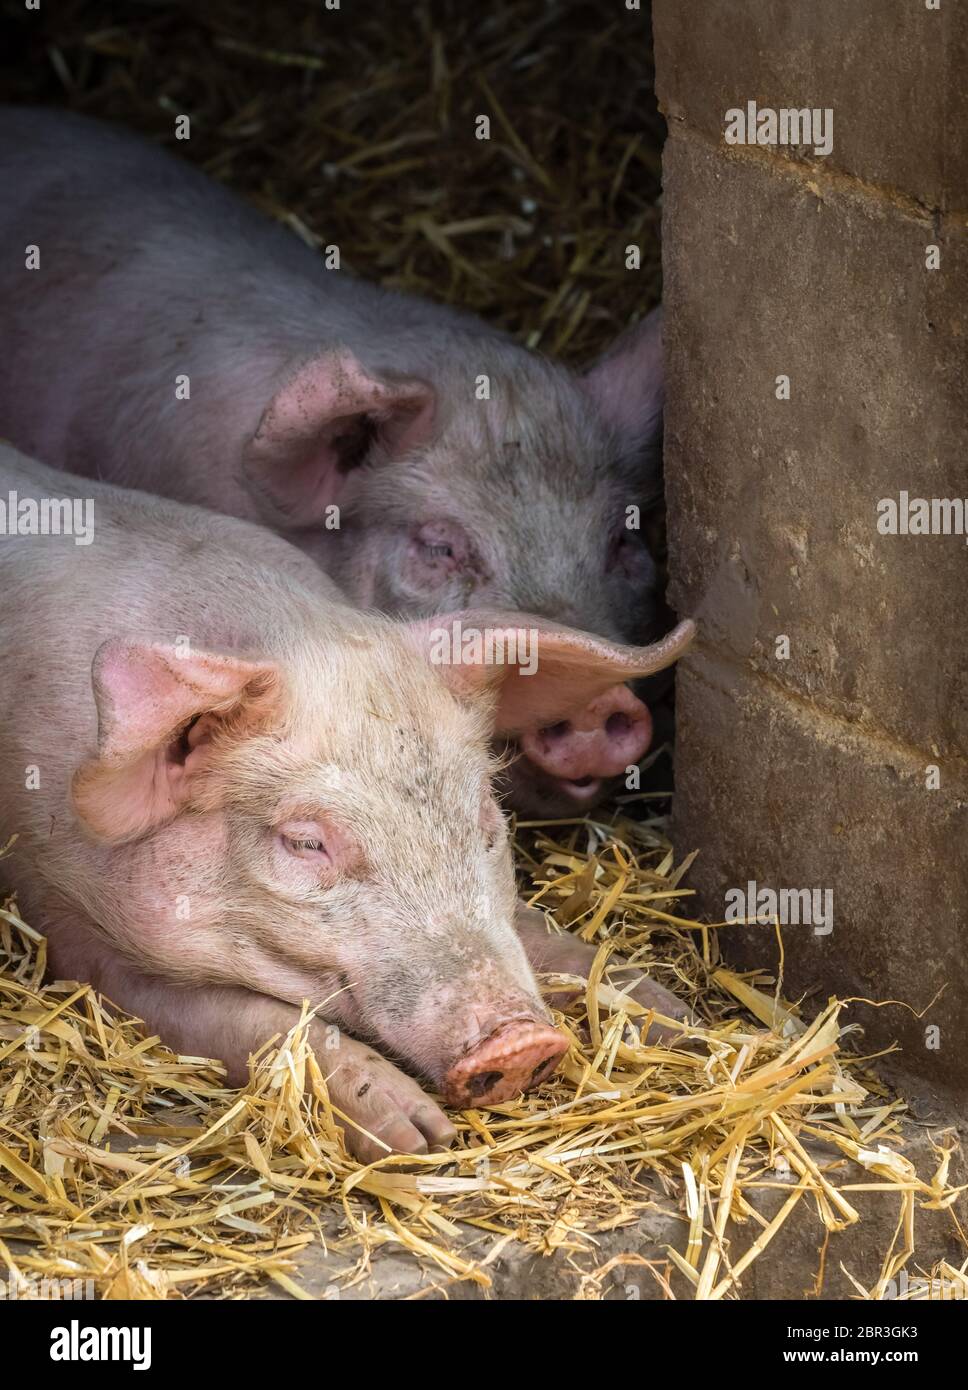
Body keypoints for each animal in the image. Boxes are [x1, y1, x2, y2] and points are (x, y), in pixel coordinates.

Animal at [0, 445, 694, 1160]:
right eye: (306, 843)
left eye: (481, 815)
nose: (521, 1042)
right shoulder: (68, 926)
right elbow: (262, 1023)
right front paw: (418, 1137)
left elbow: (532, 929)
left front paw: (674, 1016)